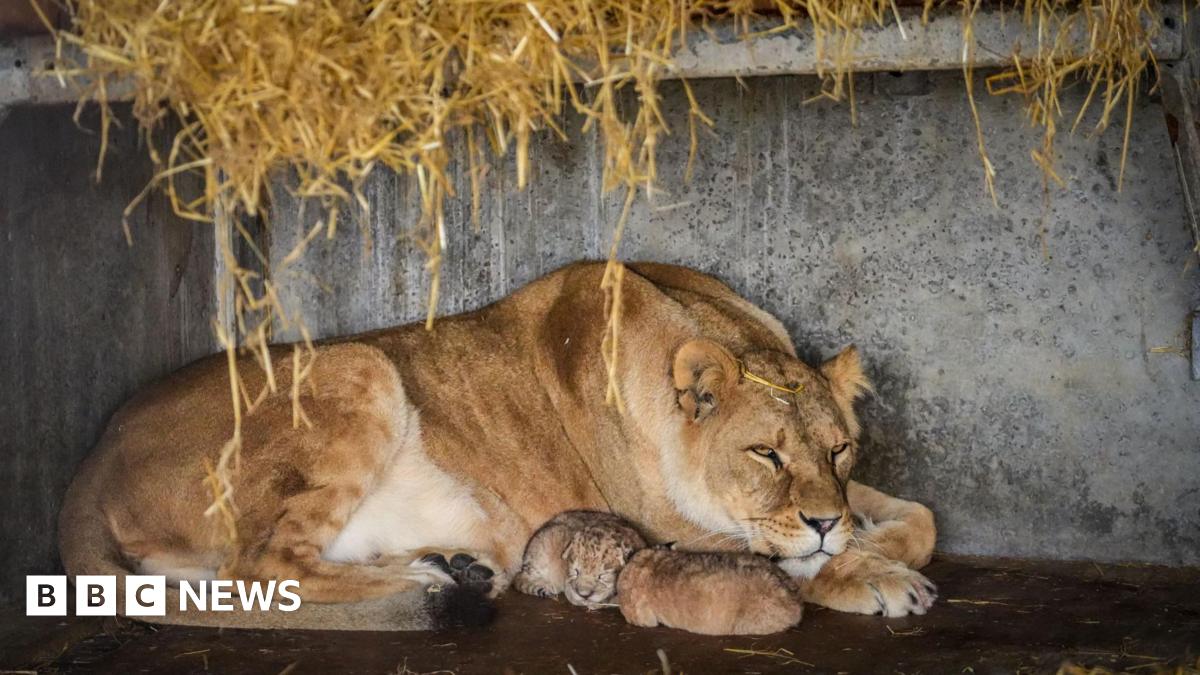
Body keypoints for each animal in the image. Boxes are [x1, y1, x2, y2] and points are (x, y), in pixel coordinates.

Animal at [58, 261, 937, 630]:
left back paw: (453, 565)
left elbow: (922, 517)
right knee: (258, 566)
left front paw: (879, 543)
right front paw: (873, 576)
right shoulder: (657, 526)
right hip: (359, 366)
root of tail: (87, 466)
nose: (823, 520)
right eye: (766, 454)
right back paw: (430, 577)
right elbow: (786, 560)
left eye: (840, 451)